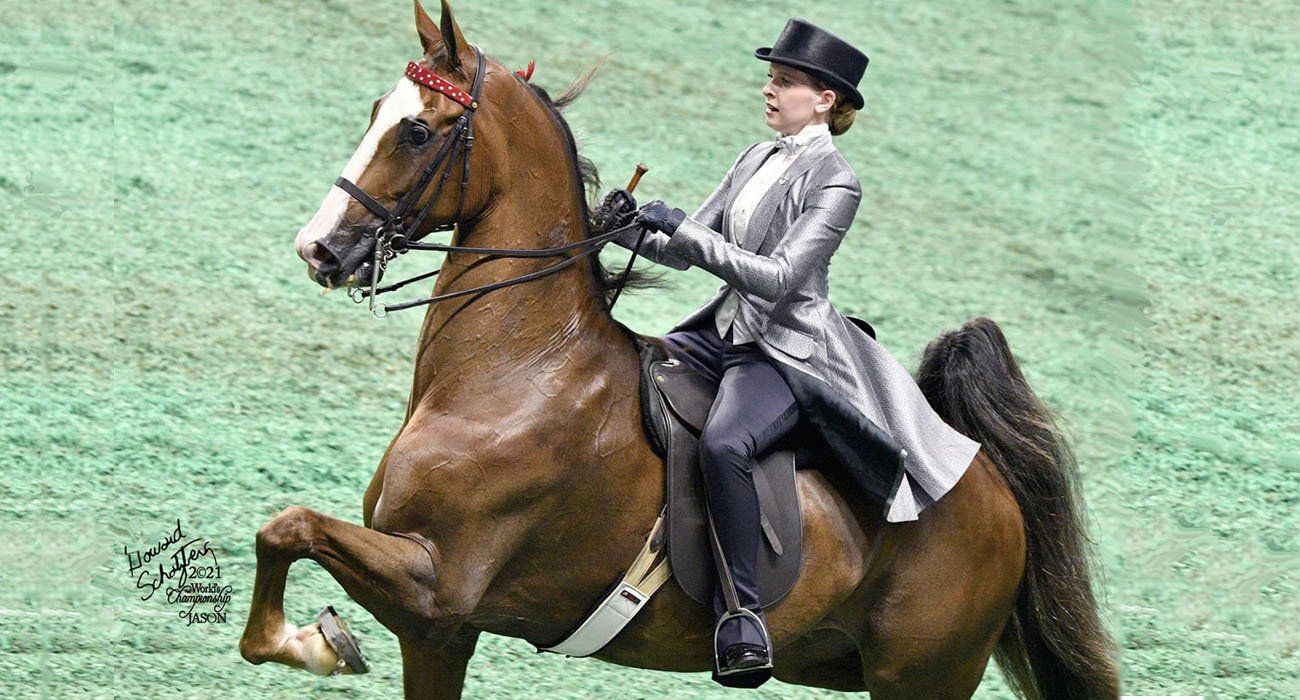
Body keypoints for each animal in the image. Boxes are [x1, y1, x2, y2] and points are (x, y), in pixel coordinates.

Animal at [239, 2, 1121, 698]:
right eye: (376, 109)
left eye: (419, 130)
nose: (318, 249)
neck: (519, 373)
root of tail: (987, 478)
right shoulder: (441, 634)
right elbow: (280, 536)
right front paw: (313, 641)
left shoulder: (435, 589)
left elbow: (289, 526)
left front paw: (314, 643)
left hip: (921, 680)